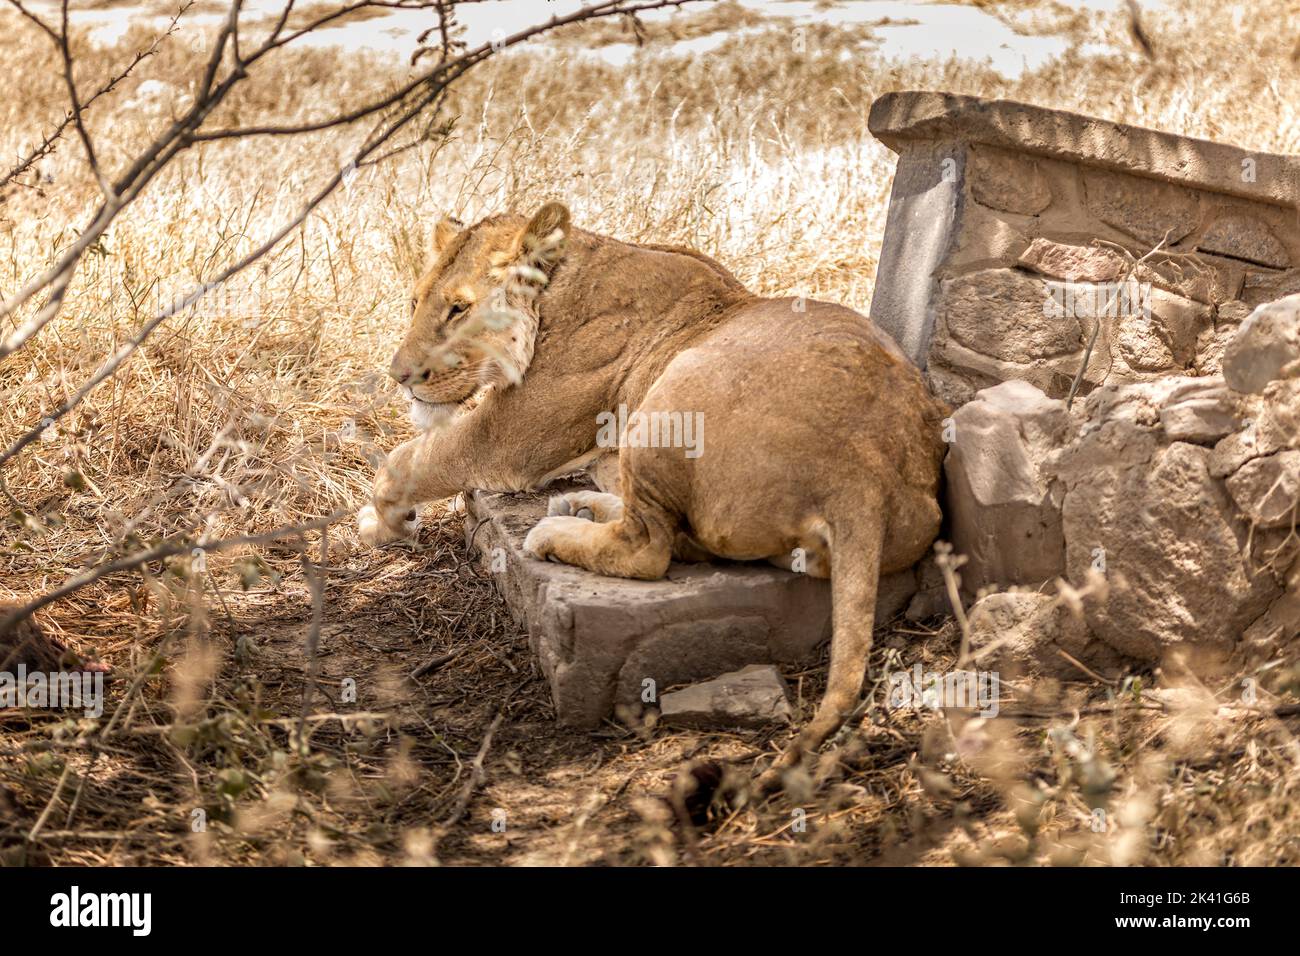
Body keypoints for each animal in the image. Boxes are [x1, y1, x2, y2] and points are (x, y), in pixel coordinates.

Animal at [359, 201, 947, 789]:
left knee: (646, 549)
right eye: (414, 302)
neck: (563, 285)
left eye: (459, 308)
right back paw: (585, 506)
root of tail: (861, 473)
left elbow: (407, 461)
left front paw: (382, 523)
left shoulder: (508, 437)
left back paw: (556, 530)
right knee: (675, 533)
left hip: (675, 385)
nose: (399, 376)